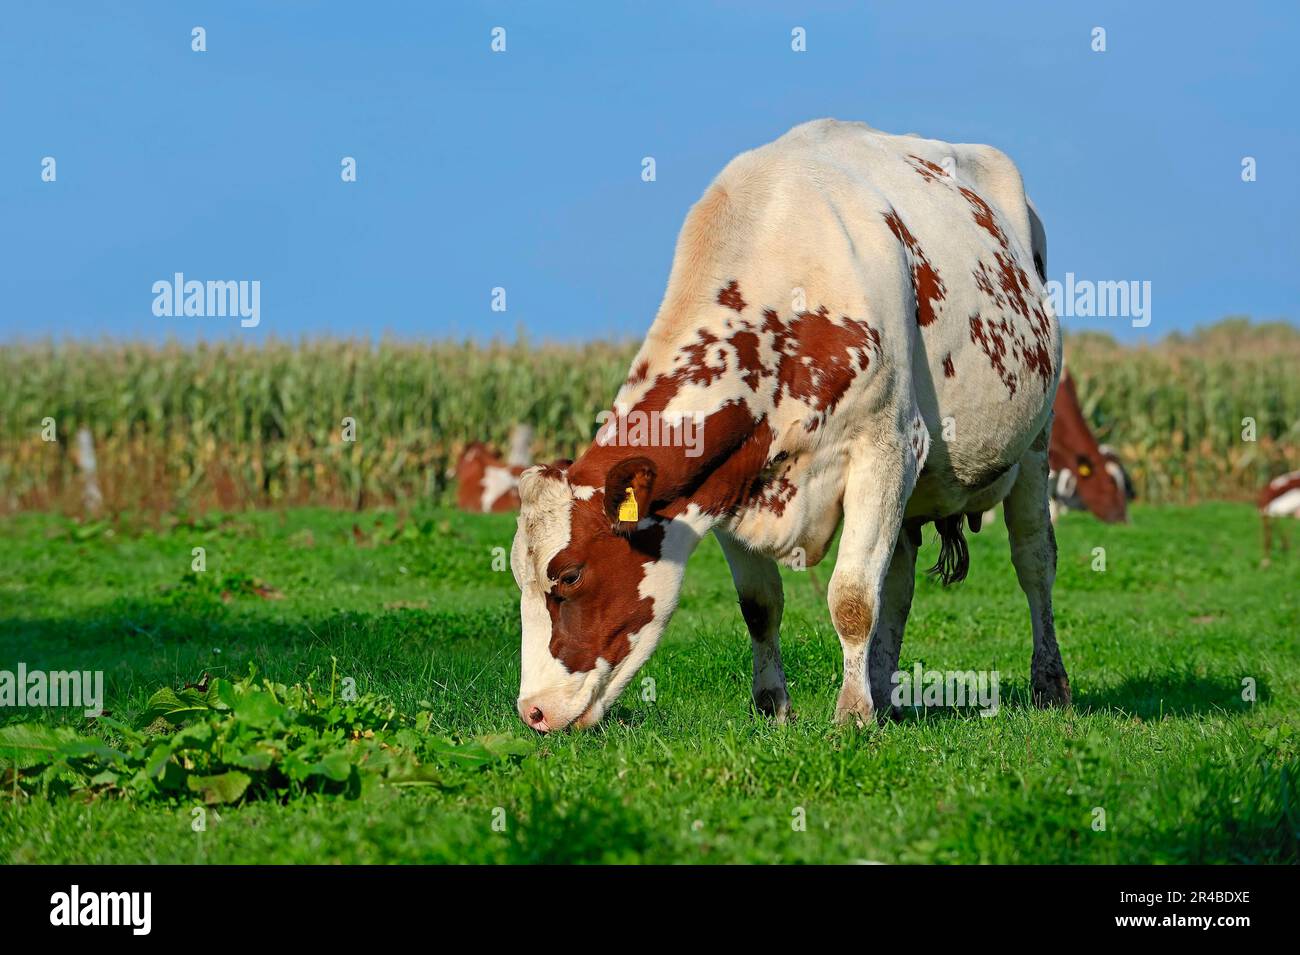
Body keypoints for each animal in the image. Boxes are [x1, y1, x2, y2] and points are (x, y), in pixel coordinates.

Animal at [511, 119, 1069, 732]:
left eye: (569, 576)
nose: (533, 711)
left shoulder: (886, 448)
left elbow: (852, 598)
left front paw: (851, 715)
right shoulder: (730, 478)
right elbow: (761, 604)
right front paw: (774, 704)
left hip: (1035, 443)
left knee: (1034, 560)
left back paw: (1048, 683)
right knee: (898, 579)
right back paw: (884, 691)